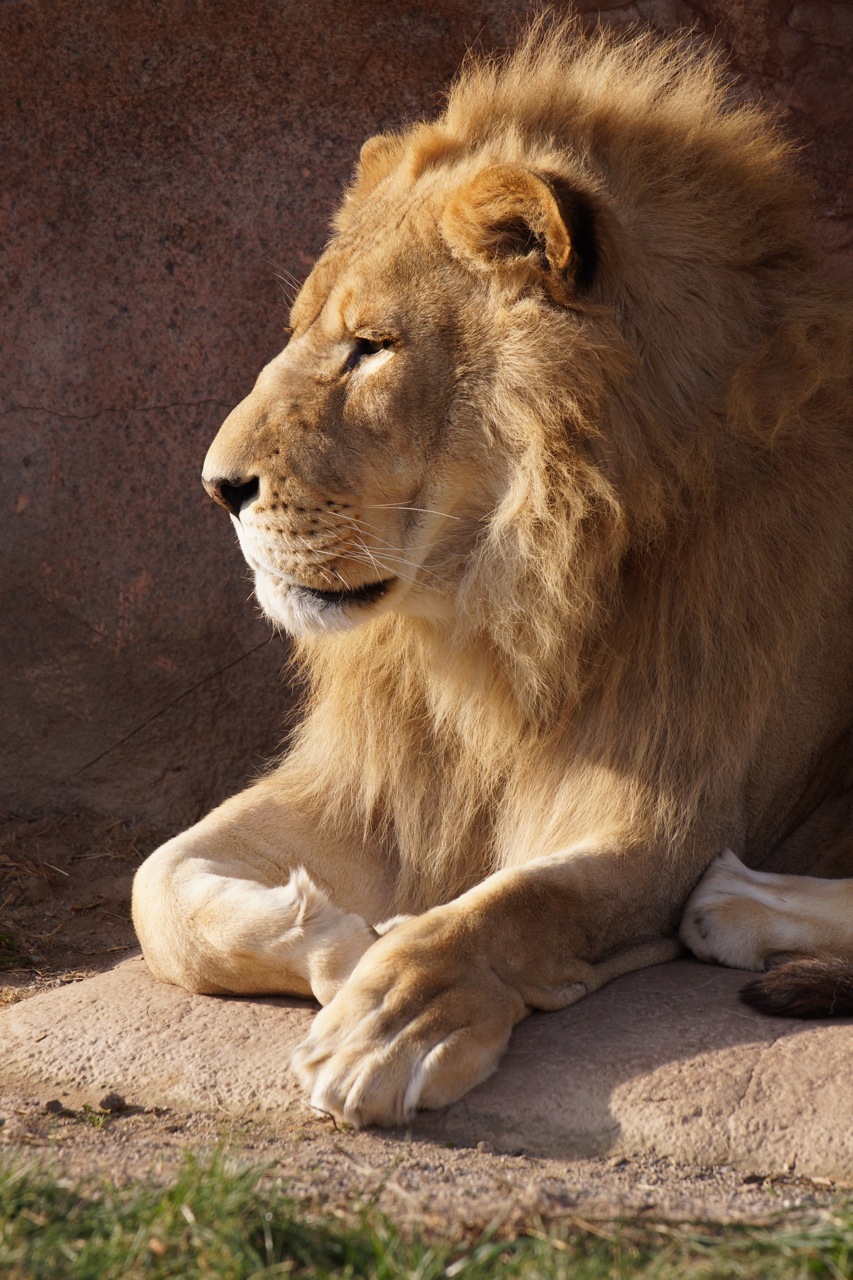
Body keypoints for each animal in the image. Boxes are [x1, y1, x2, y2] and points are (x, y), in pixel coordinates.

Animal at [132, 17, 853, 1128]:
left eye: (370, 347)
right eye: (301, 332)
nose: (217, 487)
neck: (491, 608)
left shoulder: (672, 812)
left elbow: (518, 901)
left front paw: (392, 1020)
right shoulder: (387, 779)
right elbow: (158, 885)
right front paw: (340, 941)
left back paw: (739, 904)